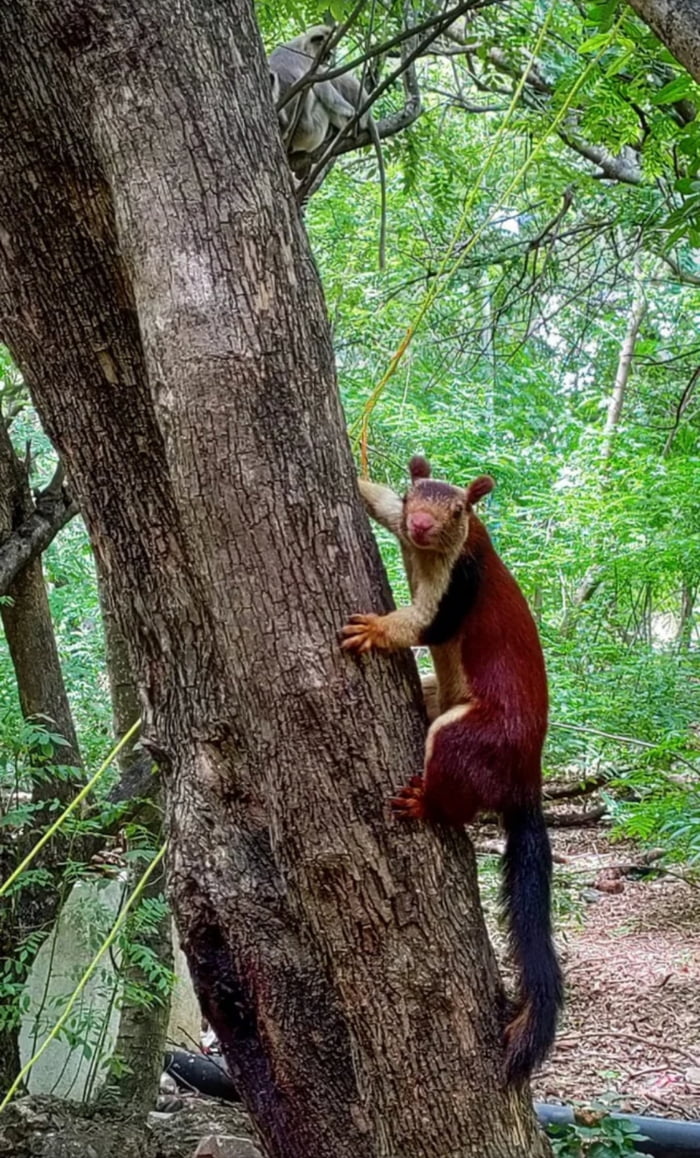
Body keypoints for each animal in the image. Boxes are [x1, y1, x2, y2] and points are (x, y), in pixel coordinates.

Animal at [342, 454, 563, 1084]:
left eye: (459, 508)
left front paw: (376, 629)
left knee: (456, 791)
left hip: (469, 737)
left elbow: (423, 626)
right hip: (437, 693)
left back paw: (427, 804)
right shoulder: (399, 521)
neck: (432, 554)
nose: (419, 525)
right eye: (415, 493)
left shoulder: (458, 586)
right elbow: (375, 500)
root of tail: (526, 783)